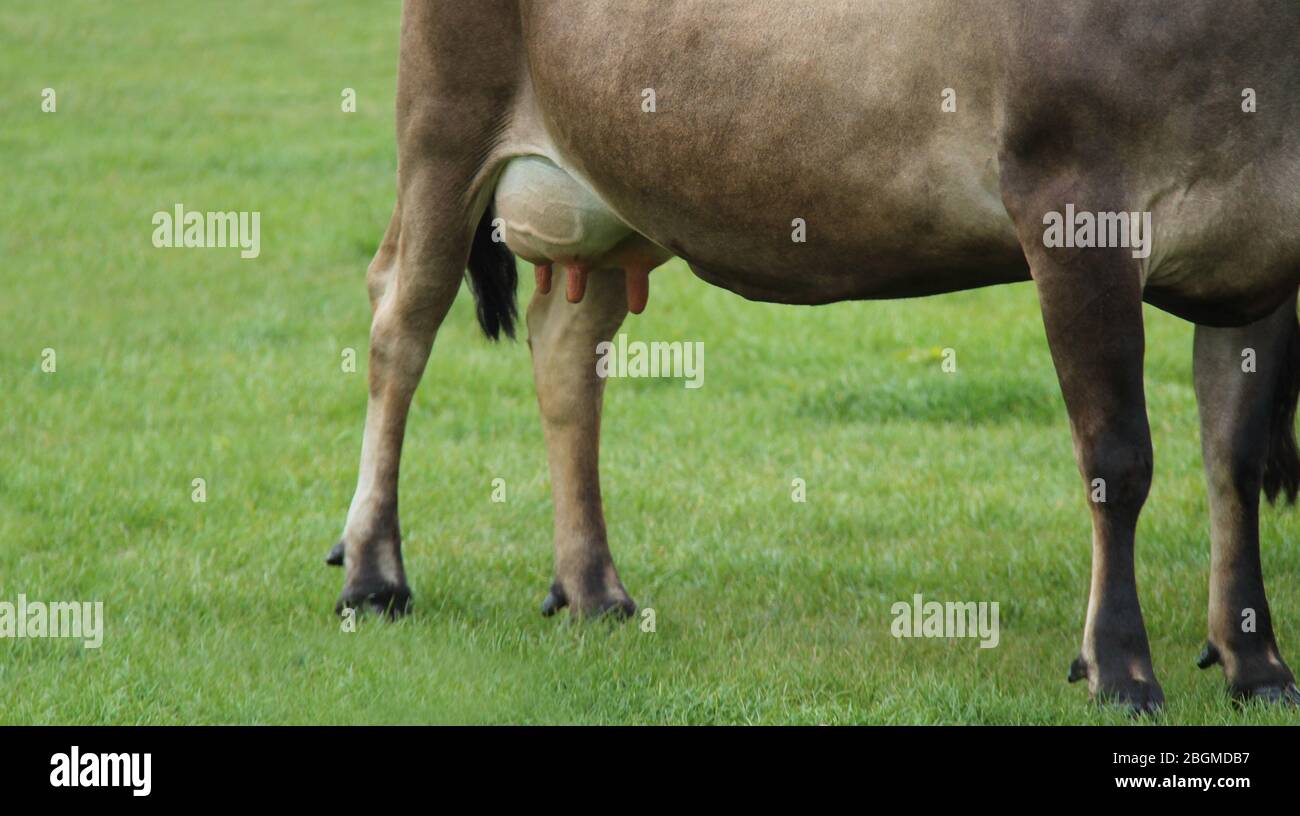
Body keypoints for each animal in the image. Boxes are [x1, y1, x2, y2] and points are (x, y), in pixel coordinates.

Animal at [325, 0, 1300, 713]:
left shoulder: (1267, 261)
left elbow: (1237, 459)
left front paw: (1256, 662)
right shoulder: (1074, 207)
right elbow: (1119, 461)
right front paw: (1121, 670)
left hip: (612, 186)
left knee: (566, 347)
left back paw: (593, 588)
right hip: (444, 119)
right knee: (400, 320)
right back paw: (374, 572)